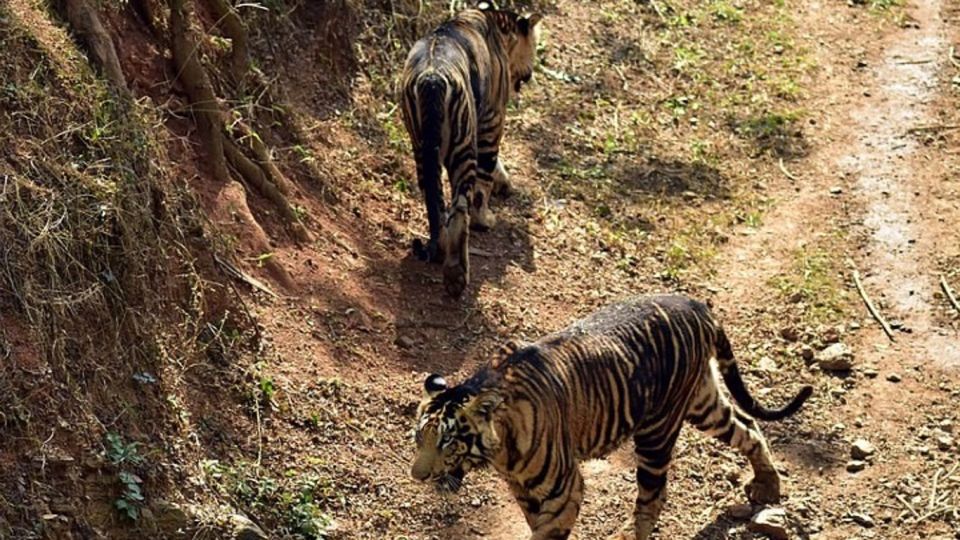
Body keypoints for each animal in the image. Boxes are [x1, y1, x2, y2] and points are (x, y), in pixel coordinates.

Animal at [399, 2, 542, 298]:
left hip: (421, 148)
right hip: (462, 149)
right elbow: (484, 179)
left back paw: (440, 252)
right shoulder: (492, 120)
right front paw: (485, 219)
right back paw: (456, 275)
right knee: (460, 209)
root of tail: (431, 78)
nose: (531, 74)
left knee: (435, 202)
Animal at [410, 295, 813, 540]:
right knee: (748, 427)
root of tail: (695, 303)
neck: (500, 451)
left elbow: (546, 532)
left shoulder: (563, 489)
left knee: (653, 497)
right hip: (704, 403)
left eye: (447, 441)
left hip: (657, 432)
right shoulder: (524, 490)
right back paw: (767, 485)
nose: (418, 475)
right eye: (419, 438)